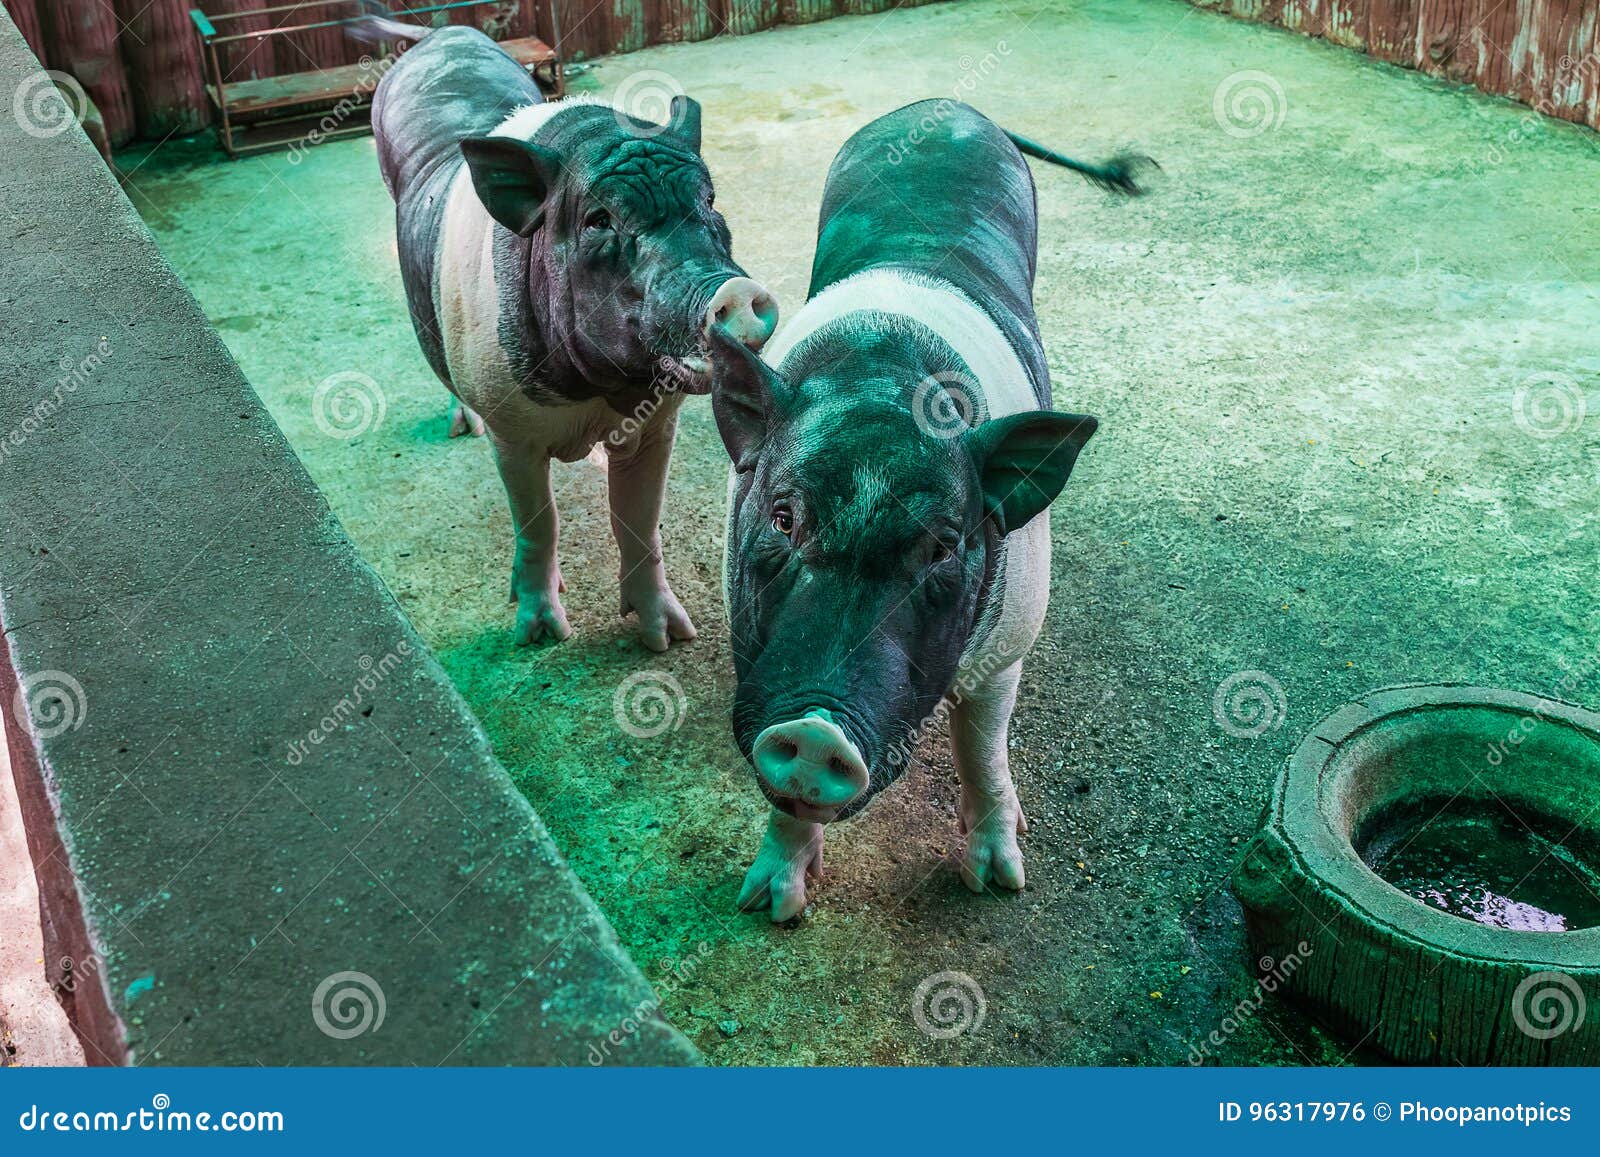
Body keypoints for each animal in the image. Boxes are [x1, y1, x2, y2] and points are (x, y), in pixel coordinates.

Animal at [367, 22, 777, 650]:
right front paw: (540, 635)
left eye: (709, 201)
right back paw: (463, 427)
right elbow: (540, 522)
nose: (734, 290)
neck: (595, 394)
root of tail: (440, 32)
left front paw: (669, 638)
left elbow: (638, 522)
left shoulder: (656, 427)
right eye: (598, 220)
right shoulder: (511, 431)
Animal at [708, 99, 1148, 919]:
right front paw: (769, 904)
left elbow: (983, 747)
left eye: (942, 547)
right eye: (783, 518)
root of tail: (950, 105)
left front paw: (999, 880)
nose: (815, 731)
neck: (882, 381)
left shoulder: (1011, 639)